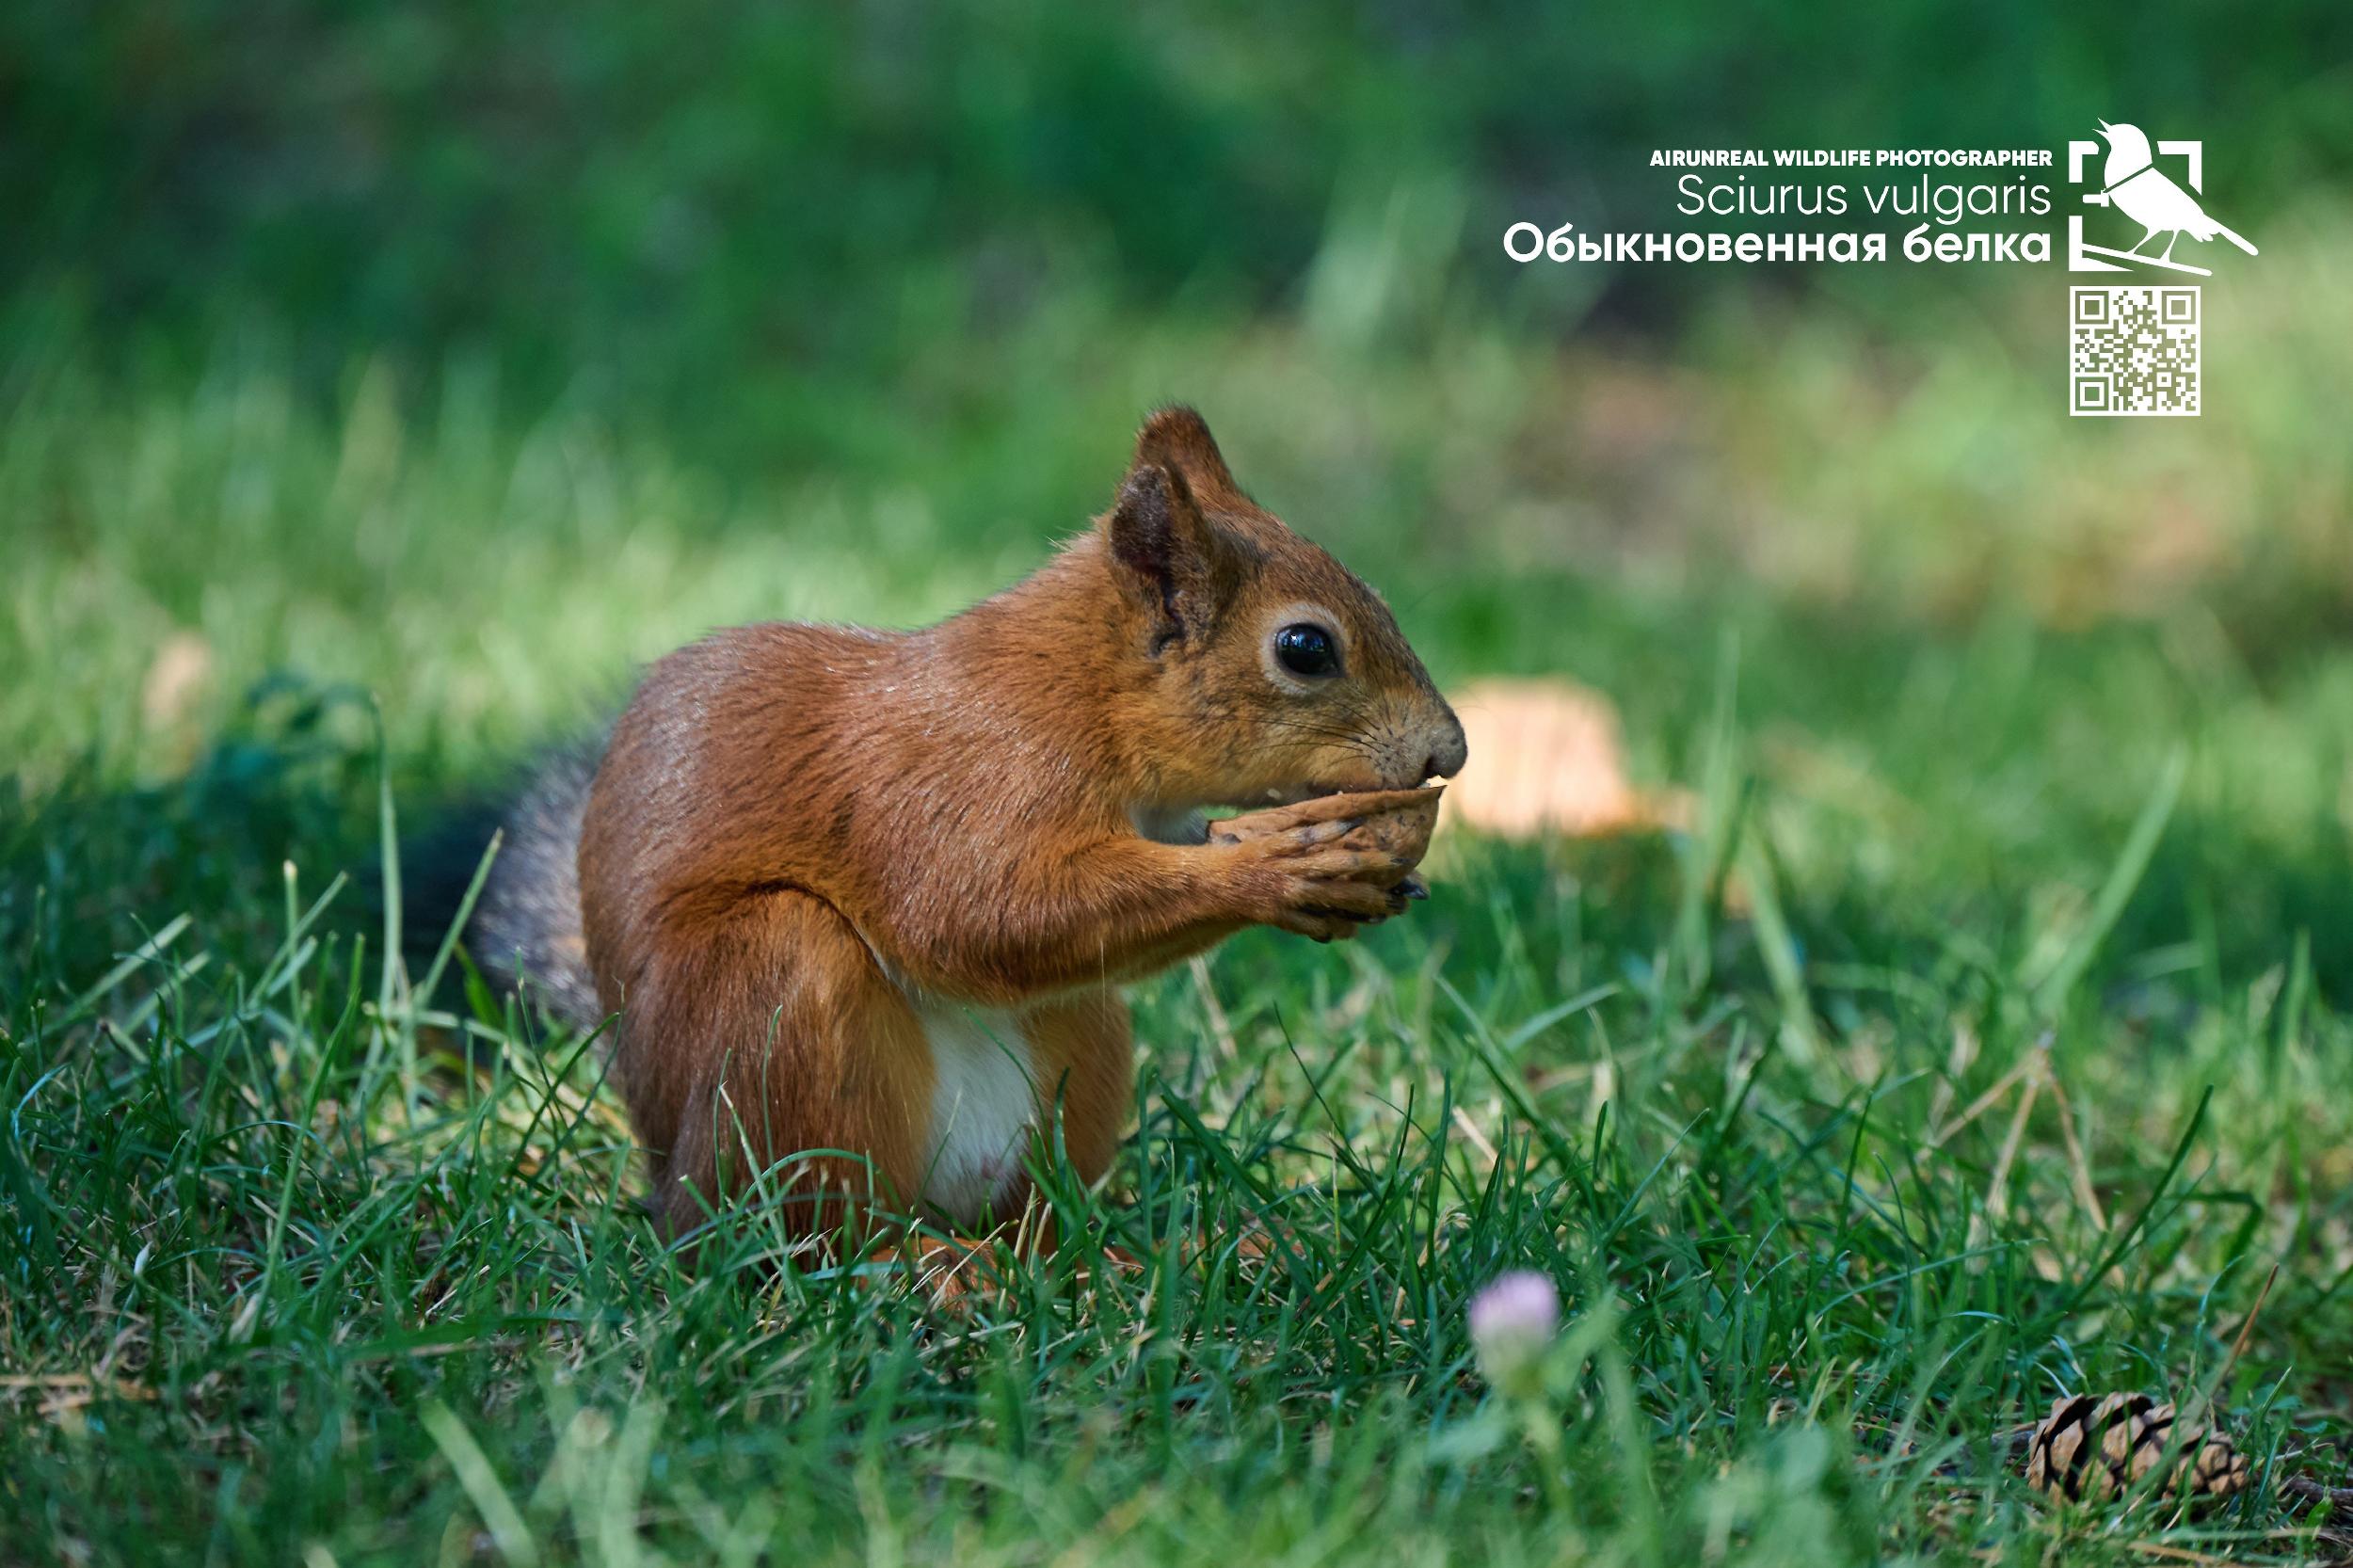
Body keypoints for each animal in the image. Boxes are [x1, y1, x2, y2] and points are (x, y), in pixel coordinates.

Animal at [448, 408, 1466, 1251]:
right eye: (1305, 648)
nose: (1449, 751)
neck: (1085, 693)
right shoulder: (967, 773)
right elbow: (970, 914)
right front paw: (1275, 869)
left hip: (1082, 1042)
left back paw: (1113, 1256)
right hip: (771, 1001)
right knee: (803, 1234)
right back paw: (917, 1272)